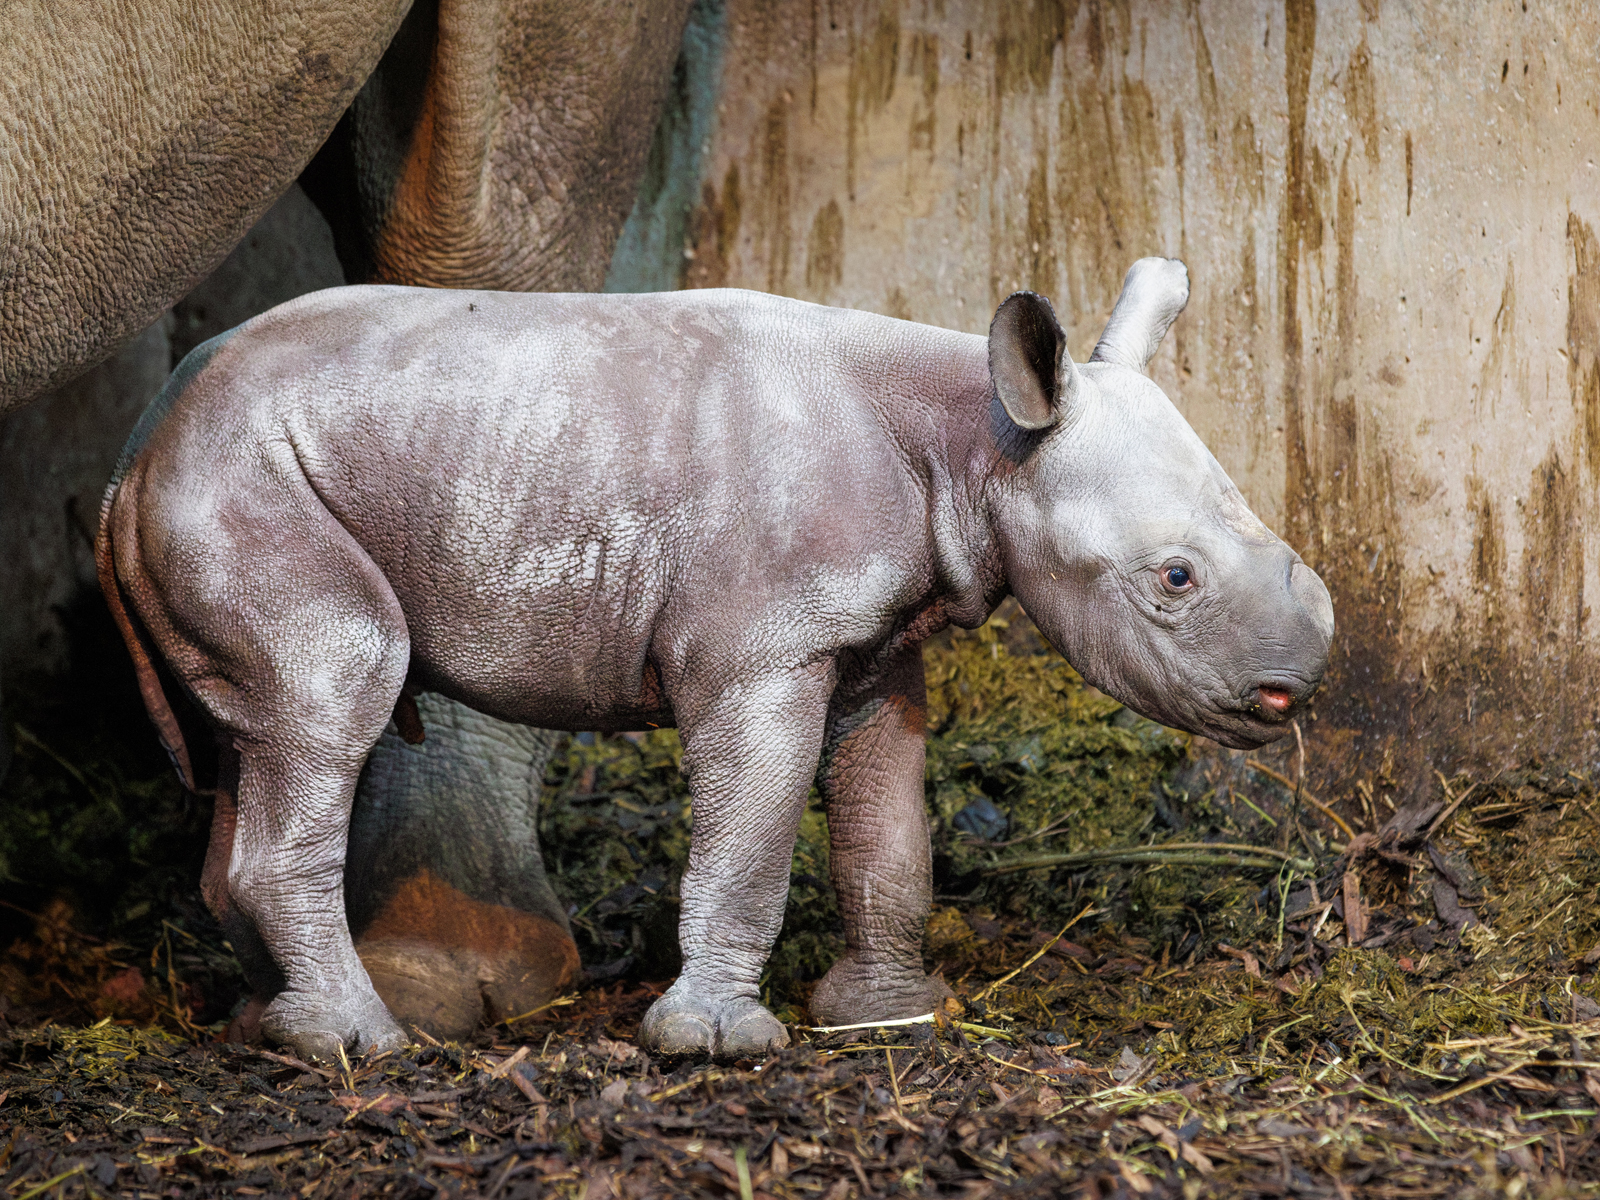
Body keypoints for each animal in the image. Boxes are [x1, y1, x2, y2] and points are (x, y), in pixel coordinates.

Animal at [98, 258, 1333, 1060]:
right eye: (1174, 581)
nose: (1296, 687)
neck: (982, 439)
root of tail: (136, 450)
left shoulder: (874, 647)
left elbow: (890, 828)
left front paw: (888, 1014)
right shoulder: (760, 652)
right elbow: (752, 839)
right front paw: (717, 1044)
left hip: (238, 479)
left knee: (259, 737)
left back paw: (271, 1031)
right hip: (243, 484)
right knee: (332, 695)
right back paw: (363, 1046)